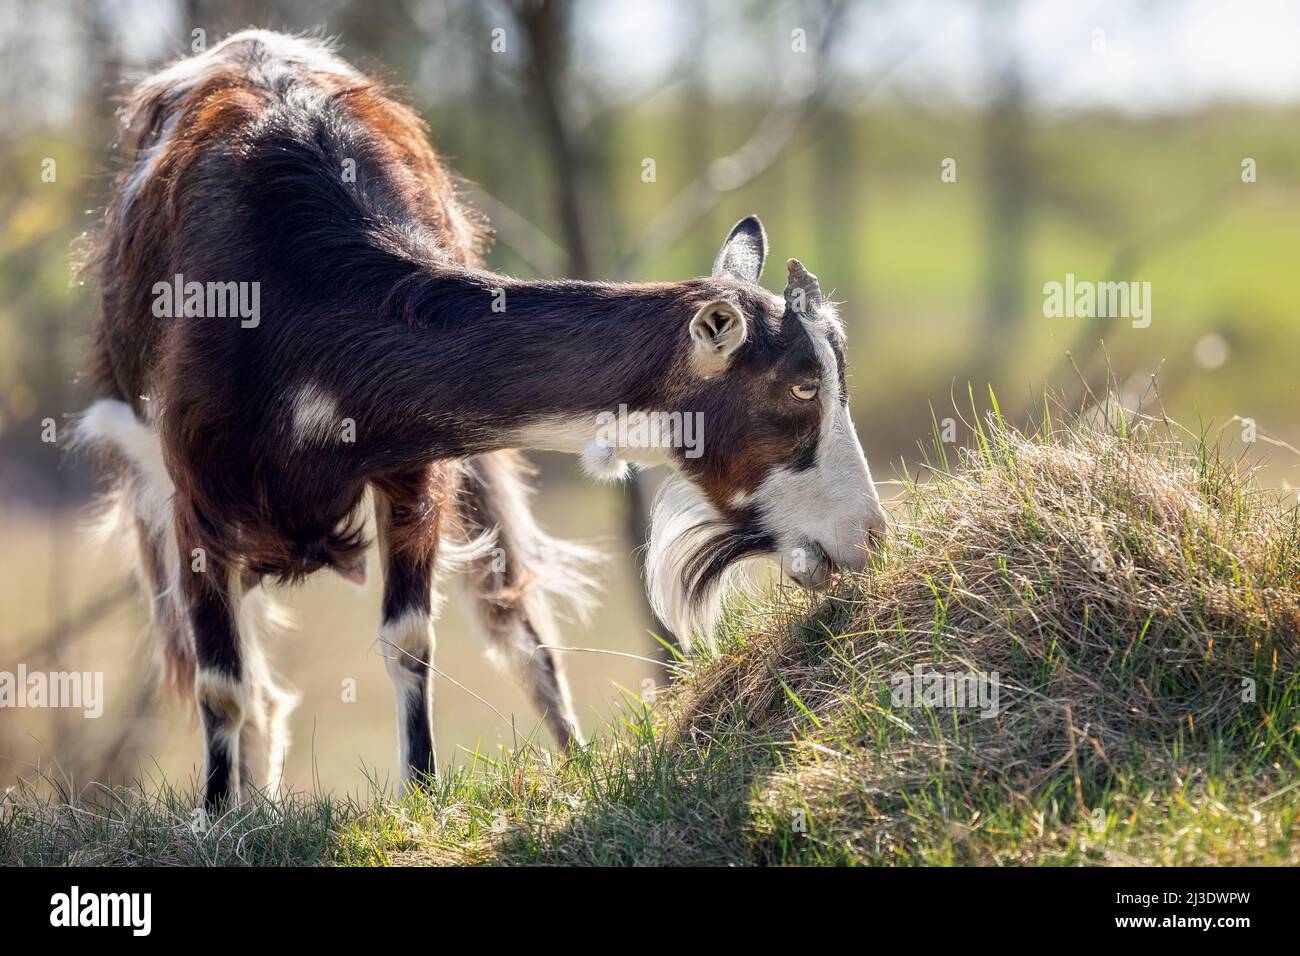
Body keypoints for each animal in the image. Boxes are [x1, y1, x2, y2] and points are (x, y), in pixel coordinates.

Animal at [75, 31, 887, 810]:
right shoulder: (194, 494)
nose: (871, 535)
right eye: (803, 386)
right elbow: (219, 681)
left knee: (515, 624)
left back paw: (572, 760)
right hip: (155, 497)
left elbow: (409, 639)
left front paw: (422, 796)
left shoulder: (411, 468)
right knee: (236, 672)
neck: (295, 300)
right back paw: (247, 805)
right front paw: (216, 819)